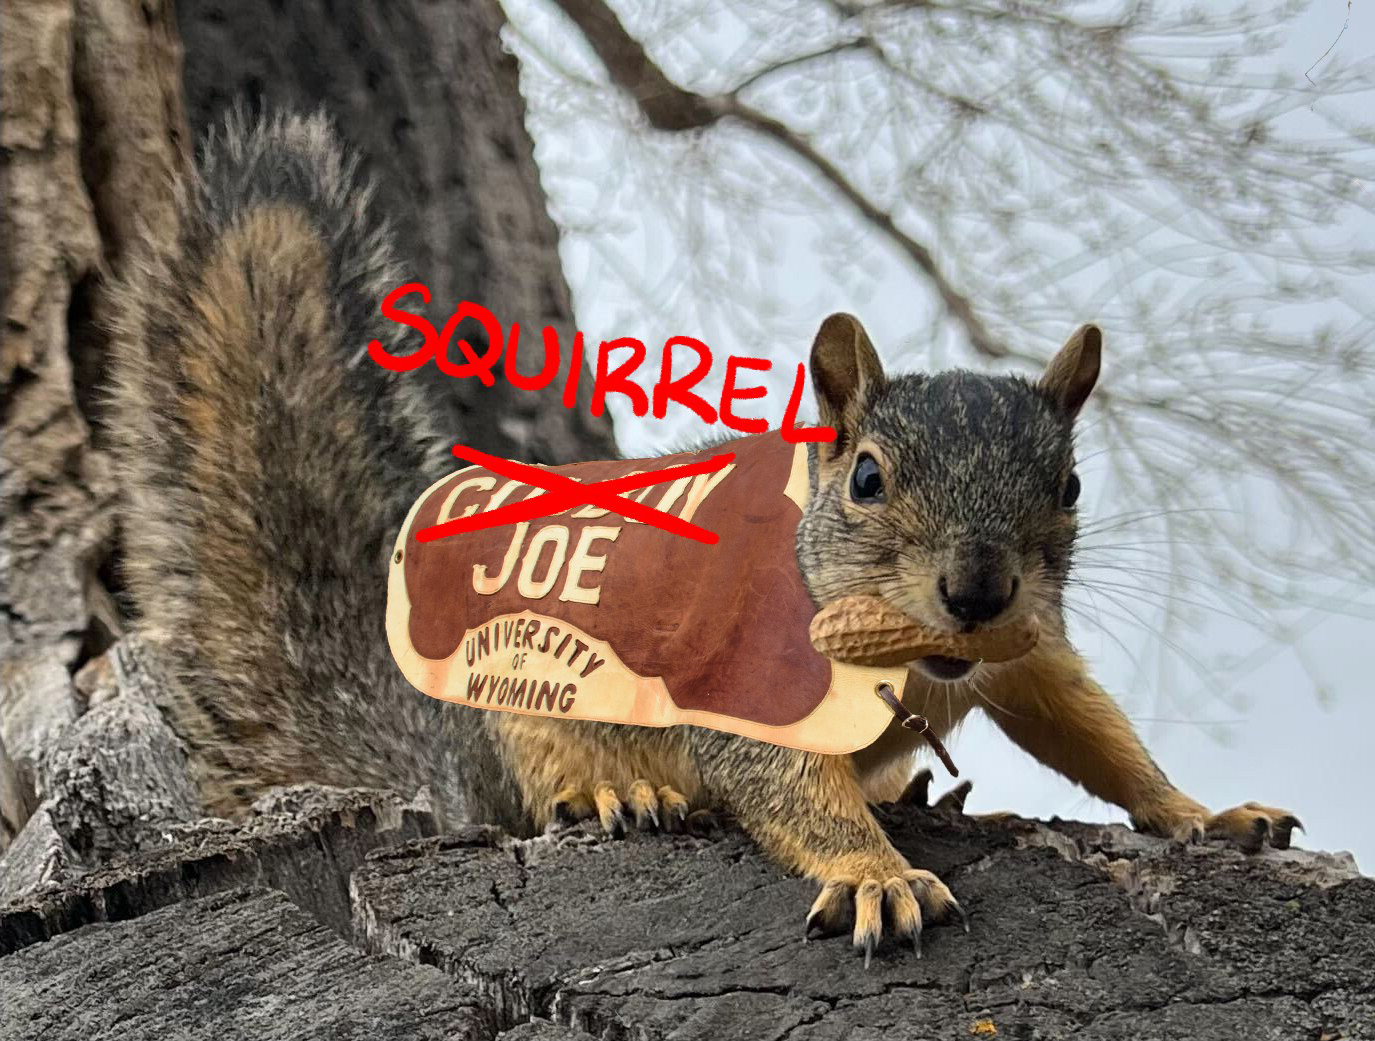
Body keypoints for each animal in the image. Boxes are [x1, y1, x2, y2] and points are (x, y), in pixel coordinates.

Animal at [107, 112, 1301, 963]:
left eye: (1070, 484)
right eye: (866, 479)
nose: (975, 591)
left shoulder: (1027, 652)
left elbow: (1089, 730)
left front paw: (1204, 814)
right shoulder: (749, 685)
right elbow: (785, 784)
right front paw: (873, 873)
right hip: (522, 705)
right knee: (534, 793)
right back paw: (614, 793)